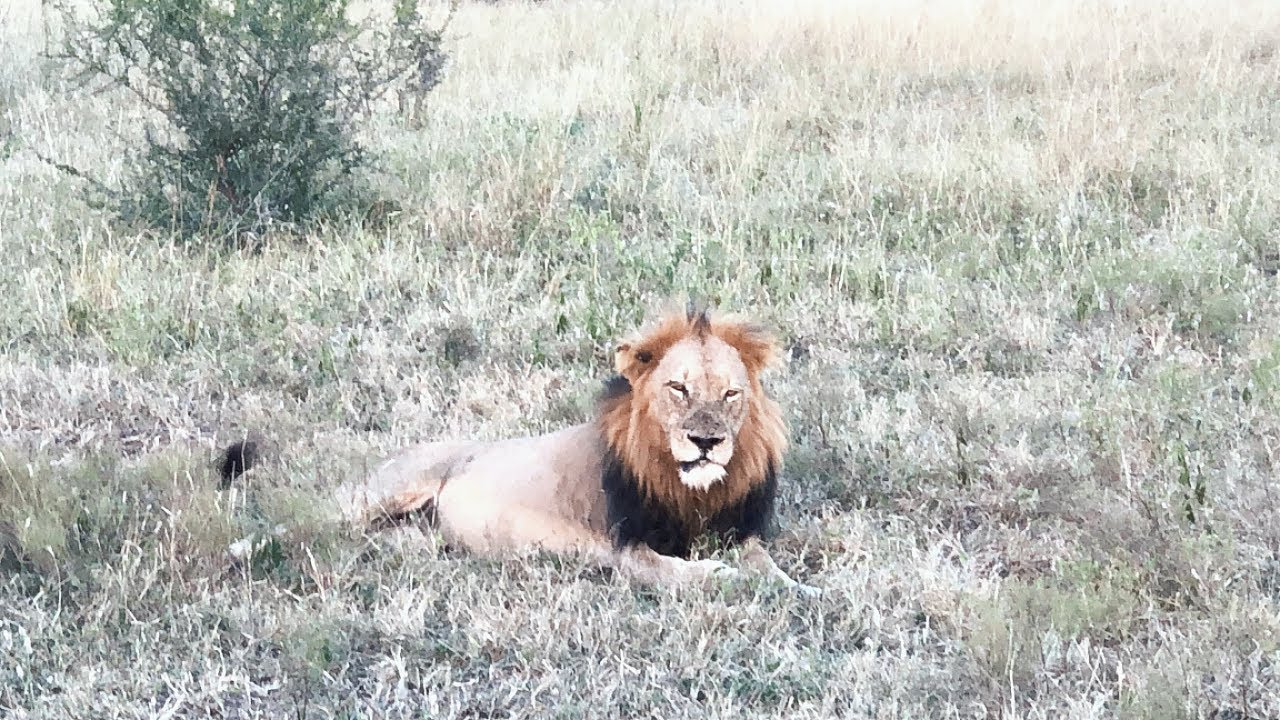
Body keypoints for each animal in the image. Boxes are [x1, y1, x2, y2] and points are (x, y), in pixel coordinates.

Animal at [330, 306, 816, 592]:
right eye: (678, 388)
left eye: (731, 394)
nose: (707, 442)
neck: (693, 491)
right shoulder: (627, 550)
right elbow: (677, 572)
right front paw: (719, 575)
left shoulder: (738, 531)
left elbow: (766, 566)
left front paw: (796, 588)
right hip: (381, 493)